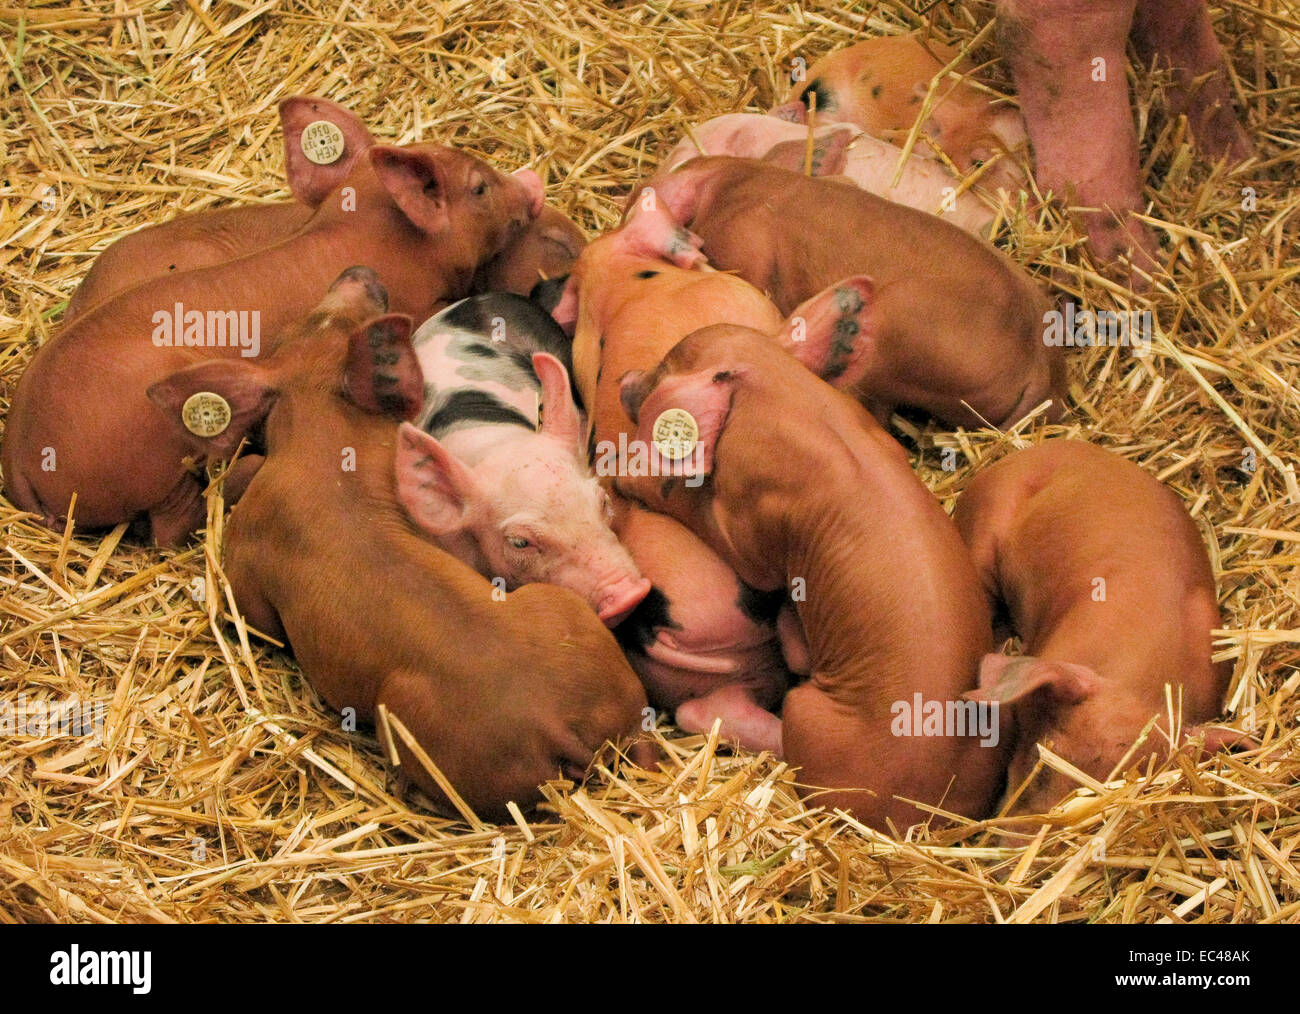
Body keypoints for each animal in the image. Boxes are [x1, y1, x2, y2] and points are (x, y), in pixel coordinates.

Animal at [3, 122, 547, 545]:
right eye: (479, 187)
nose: (533, 185)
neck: (379, 236)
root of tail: (20, 460)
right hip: (152, 452)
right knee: (169, 525)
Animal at [618, 324, 1007, 830]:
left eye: (666, 364)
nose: (624, 376)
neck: (784, 394)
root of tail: (917, 812)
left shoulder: (751, 531)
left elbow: (710, 524)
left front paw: (626, 477)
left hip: (807, 713)